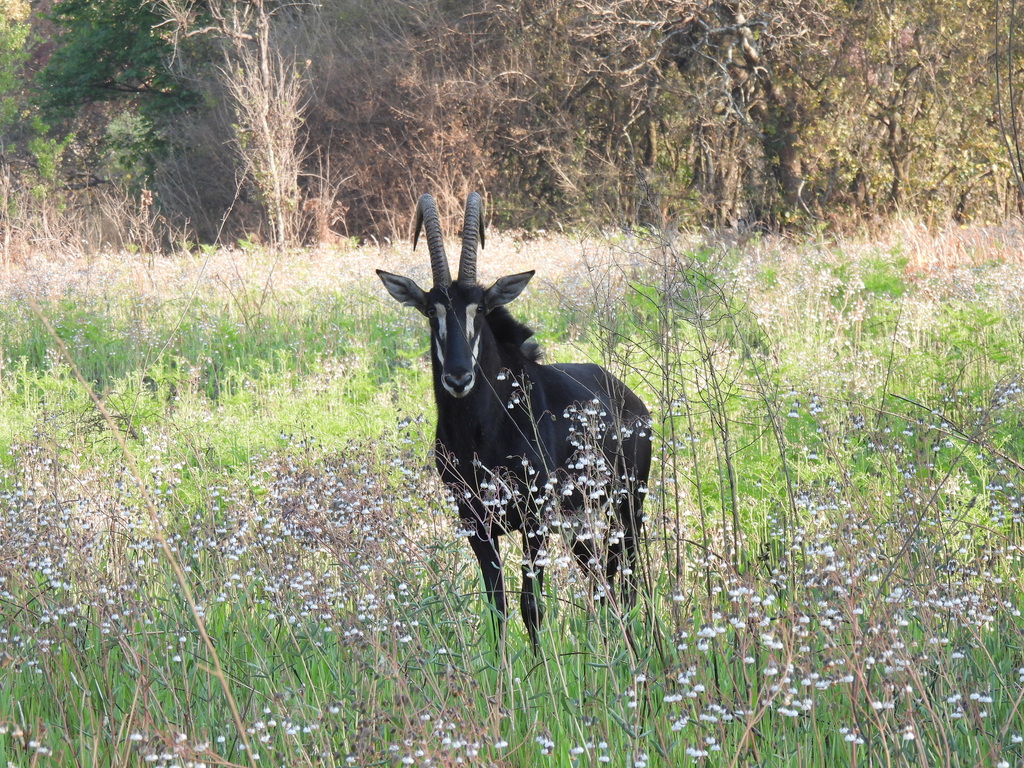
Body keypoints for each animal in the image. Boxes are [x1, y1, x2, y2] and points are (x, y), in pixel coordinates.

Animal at [377, 192, 652, 648]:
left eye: (480, 308)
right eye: (431, 311)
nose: (458, 377)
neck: (479, 433)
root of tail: (633, 402)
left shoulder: (534, 519)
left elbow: (531, 606)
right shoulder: (474, 523)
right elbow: (497, 607)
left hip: (627, 507)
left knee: (624, 579)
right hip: (579, 524)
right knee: (600, 580)